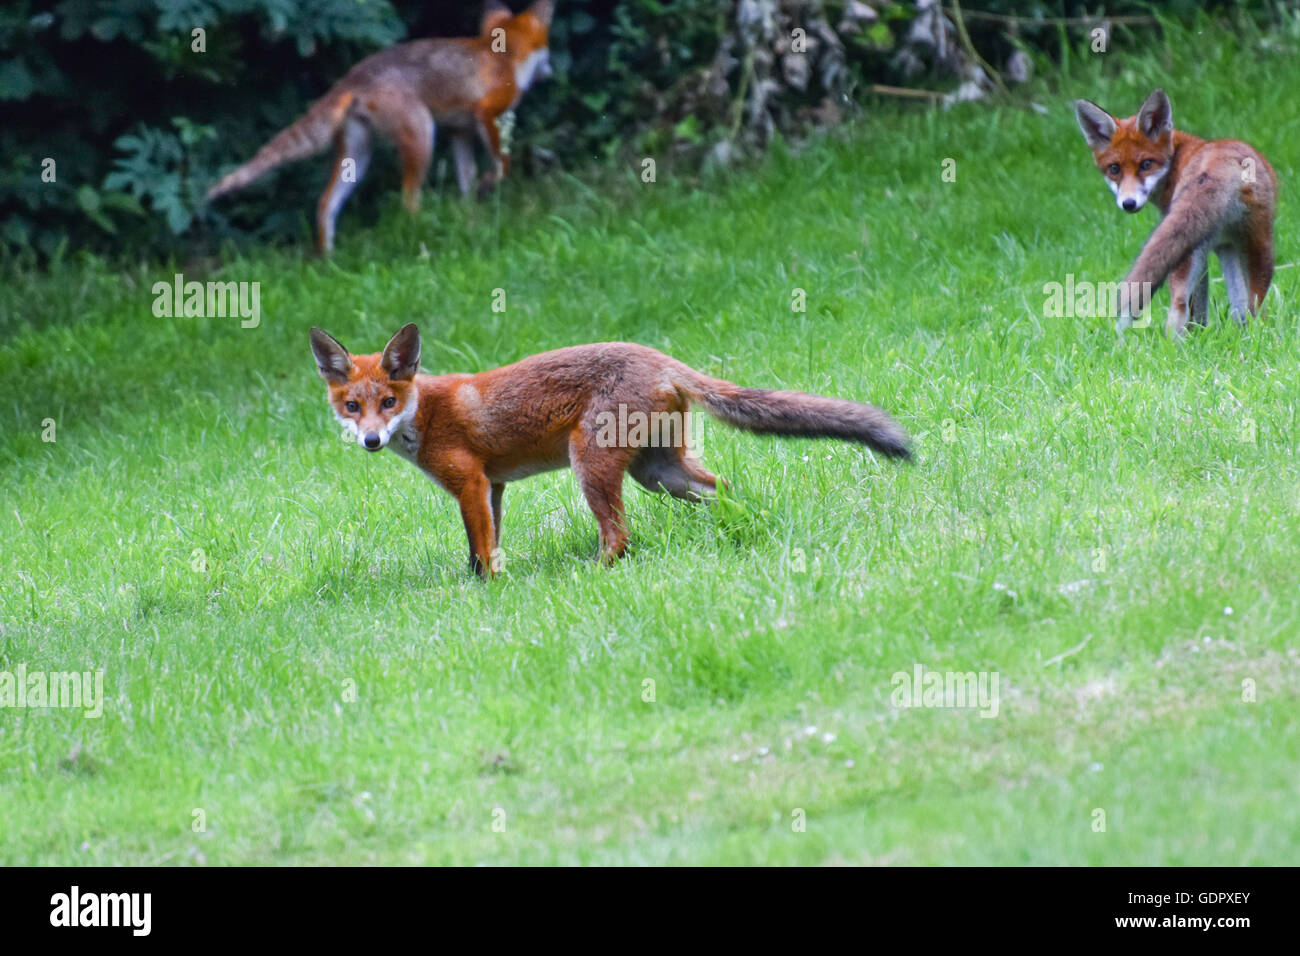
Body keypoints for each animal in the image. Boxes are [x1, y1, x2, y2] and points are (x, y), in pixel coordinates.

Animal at [205, 0, 554, 253]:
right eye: (547, 48)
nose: (550, 71)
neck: (506, 56)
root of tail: (354, 75)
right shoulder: (487, 113)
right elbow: (502, 163)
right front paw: (487, 189)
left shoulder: (460, 132)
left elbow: (467, 180)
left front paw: (472, 215)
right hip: (423, 135)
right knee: (407, 198)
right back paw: (422, 236)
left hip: (357, 156)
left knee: (325, 204)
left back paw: (328, 260)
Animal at [310, 324, 911, 577]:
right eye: (352, 406)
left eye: (388, 402)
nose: (370, 440)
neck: (426, 413)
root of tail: (660, 357)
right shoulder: (492, 486)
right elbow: (487, 547)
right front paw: (484, 583)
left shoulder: (471, 483)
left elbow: (482, 553)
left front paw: (488, 592)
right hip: (660, 473)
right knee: (726, 490)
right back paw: (745, 530)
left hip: (593, 465)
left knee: (620, 537)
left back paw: (592, 574)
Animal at [1073, 88, 1277, 338]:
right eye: (1114, 169)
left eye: (1146, 164)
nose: (1128, 203)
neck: (1177, 158)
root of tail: (1223, 164)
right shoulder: (1225, 246)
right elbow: (1235, 304)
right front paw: (1222, 335)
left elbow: (1196, 305)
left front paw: (1196, 335)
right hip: (1257, 245)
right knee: (1255, 304)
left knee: (1179, 303)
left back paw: (1171, 345)